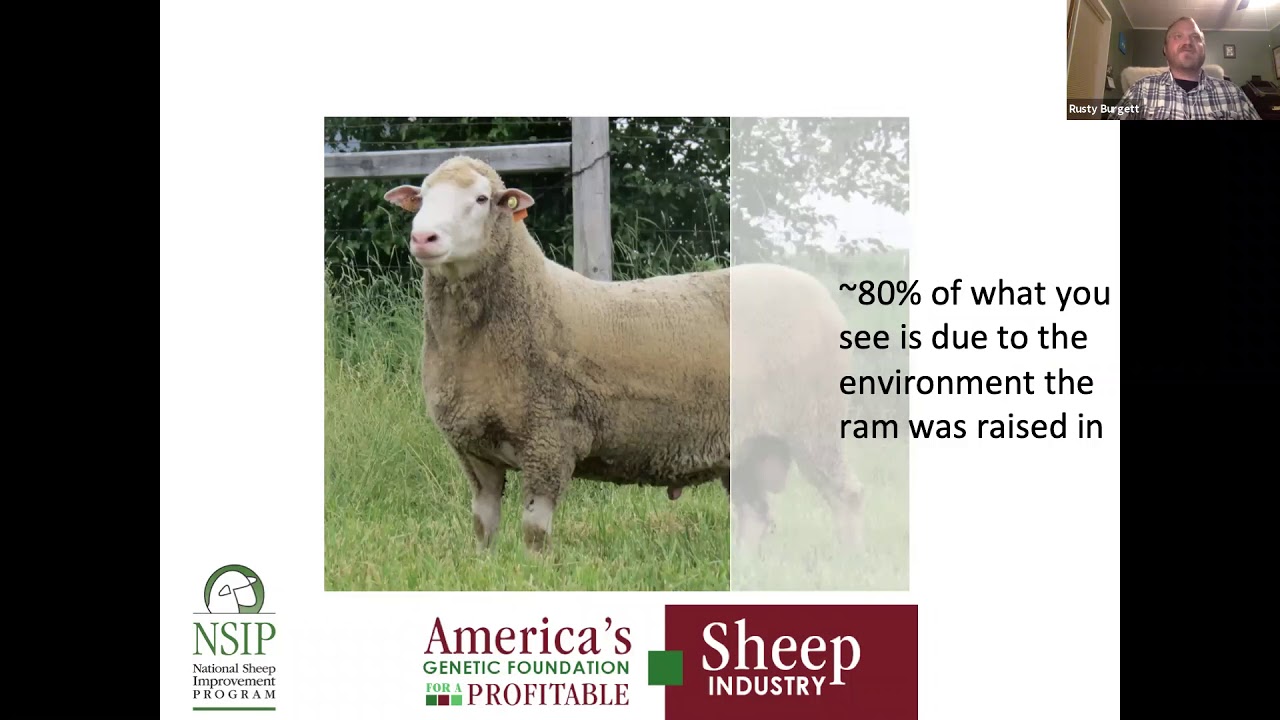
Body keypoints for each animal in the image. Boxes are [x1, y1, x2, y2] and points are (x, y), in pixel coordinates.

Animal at [382, 155, 863, 553]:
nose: (423, 237)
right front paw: (484, 567)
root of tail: (819, 292)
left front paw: (532, 572)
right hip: (747, 445)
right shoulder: (473, 450)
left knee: (846, 498)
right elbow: (483, 524)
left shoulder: (548, 438)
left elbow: (534, 530)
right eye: (421, 197)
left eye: (482, 199)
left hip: (815, 422)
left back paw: (849, 560)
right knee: (756, 516)